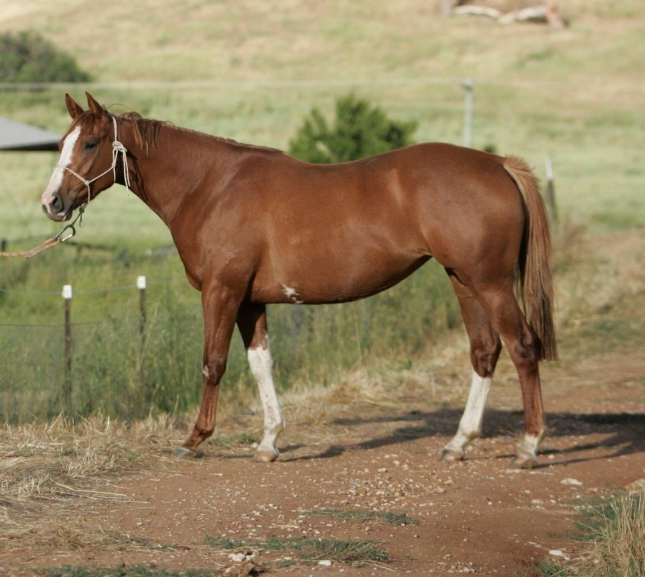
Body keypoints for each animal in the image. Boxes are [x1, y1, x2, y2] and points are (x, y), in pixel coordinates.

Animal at [41, 93, 557, 469]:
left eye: (90, 144)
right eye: (63, 142)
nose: (52, 202)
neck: (211, 186)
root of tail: (499, 165)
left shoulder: (222, 291)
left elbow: (213, 363)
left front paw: (195, 438)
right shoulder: (250, 301)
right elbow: (261, 365)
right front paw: (269, 441)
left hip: (490, 284)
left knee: (523, 348)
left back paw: (528, 447)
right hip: (464, 281)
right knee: (485, 352)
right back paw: (459, 442)